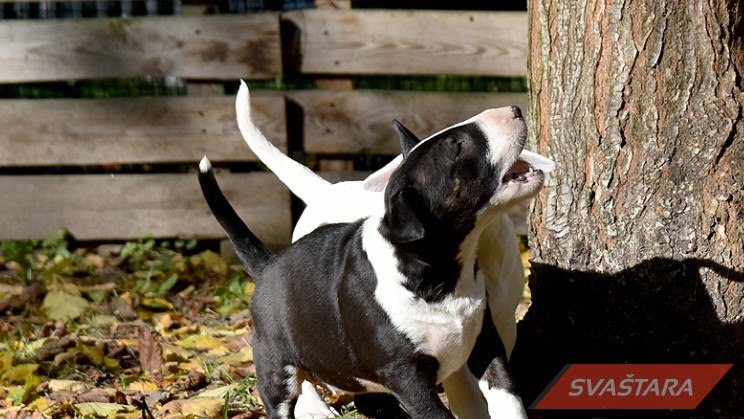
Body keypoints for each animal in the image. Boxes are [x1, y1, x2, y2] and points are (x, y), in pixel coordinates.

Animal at [201, 93, 548, 418]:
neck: (441, 274)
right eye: (457, 145)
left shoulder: (485, 337)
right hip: (277, 358)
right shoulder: (404, 373)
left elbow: (506, 393)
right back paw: (314, 408)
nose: (514, 109)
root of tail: (269, 263)